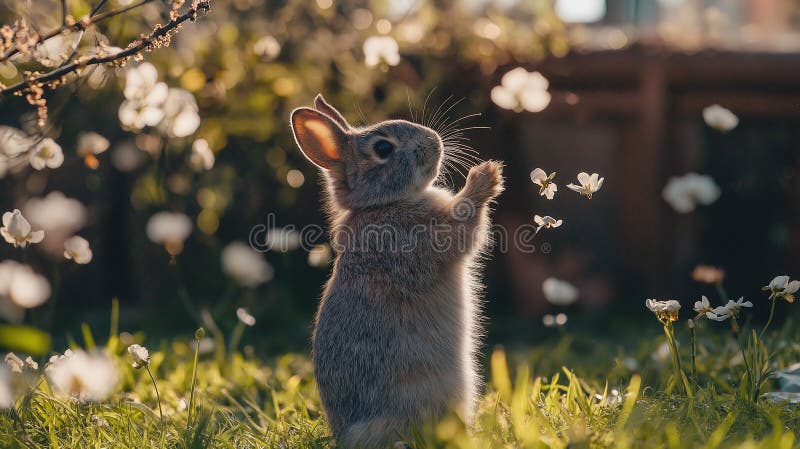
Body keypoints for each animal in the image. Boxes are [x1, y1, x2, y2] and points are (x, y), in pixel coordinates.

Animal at [289, 94, 503, 449]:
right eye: (383, 148)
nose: (435, 141)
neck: (381, 204)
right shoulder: (423, 240)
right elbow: (464, 225)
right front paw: (485, 177)